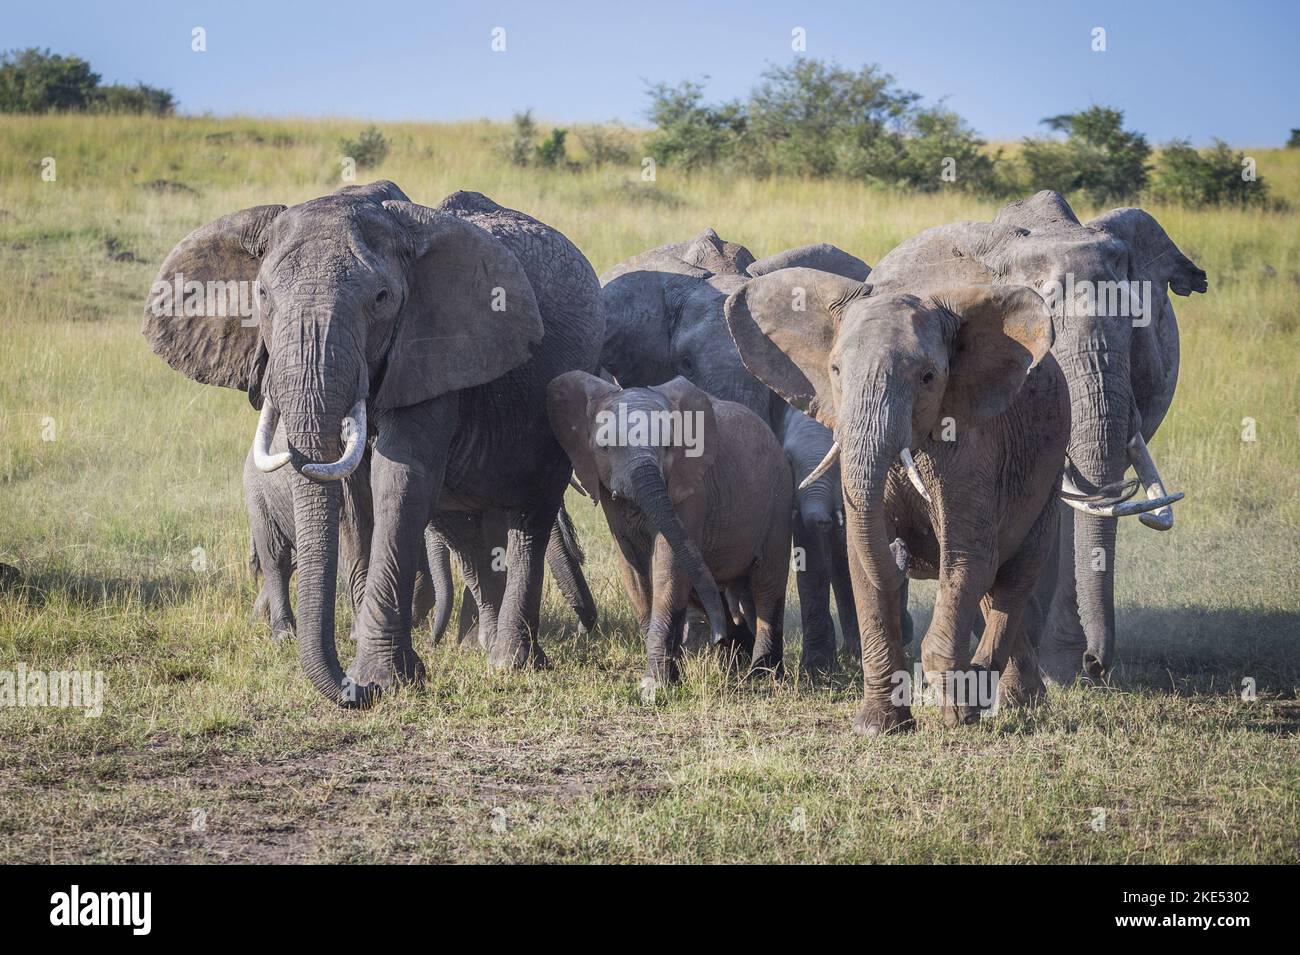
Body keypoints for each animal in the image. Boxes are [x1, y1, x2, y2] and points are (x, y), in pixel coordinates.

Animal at [143, 181, 603, 706]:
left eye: (382, 297)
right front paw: (380, 670)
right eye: (261, 294)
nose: (350, 690)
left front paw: (384, 680)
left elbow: (398, 482)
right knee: (463, 533)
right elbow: (353, 496)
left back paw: (510, 662)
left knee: (530, 517)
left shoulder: (434, 348)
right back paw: (484, 650)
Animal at [547, 372, 793, 687]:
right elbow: (633, 568)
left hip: (779, 502)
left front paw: (655, 684)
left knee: (767, 584)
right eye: (604, 447)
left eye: (668, 447)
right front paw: (669, 677)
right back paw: (735, 662)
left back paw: (762, 676)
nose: (716, 636)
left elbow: (669, 565)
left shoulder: (690, 490)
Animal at [726, 269, 1069, 733]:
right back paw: (1018, 699)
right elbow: (863, 557)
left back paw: (995, 693)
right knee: (992, 584)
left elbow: (966, 557)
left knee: (1014, 574)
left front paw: (956, 715)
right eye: (835, 370)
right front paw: (877, 727)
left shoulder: (972, 448)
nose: (903, 552)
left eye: (928, 377)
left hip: (1050, 470)